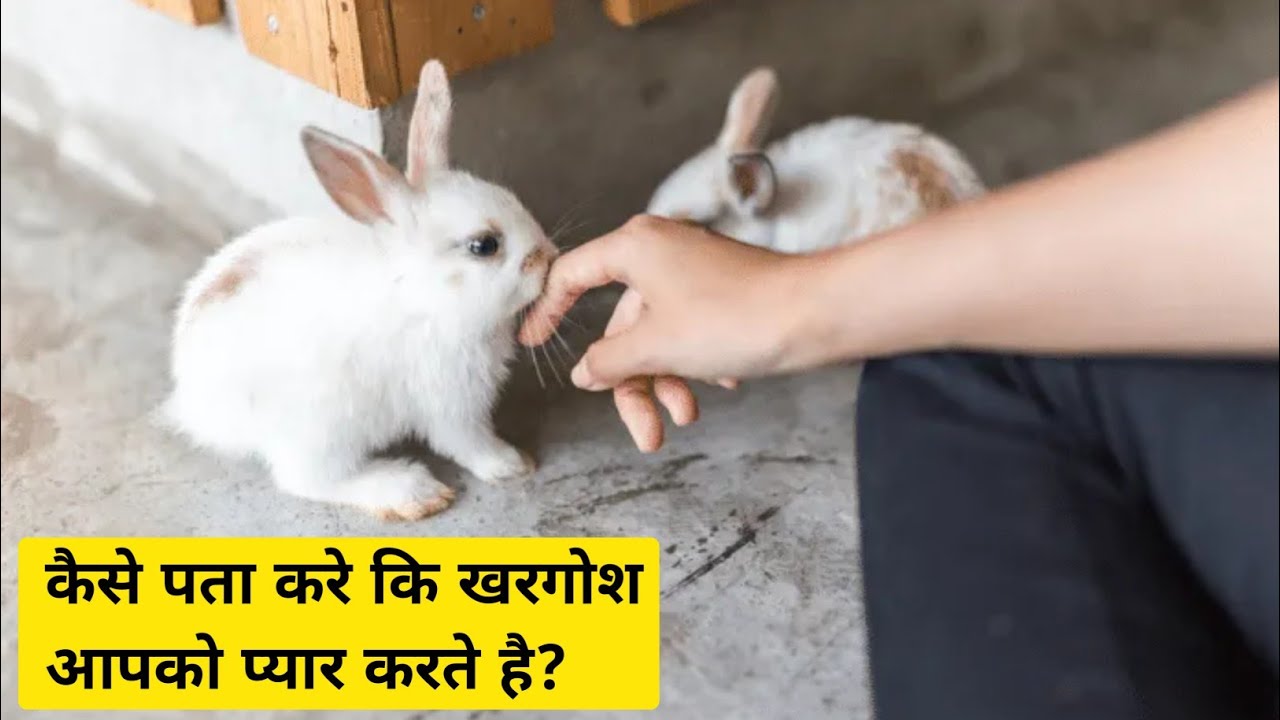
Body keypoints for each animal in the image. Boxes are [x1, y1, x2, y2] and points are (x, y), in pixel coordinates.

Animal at [165, 60, 556, 521]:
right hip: (322, 426)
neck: (423, 297)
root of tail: (196, 402)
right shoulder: (450, 401)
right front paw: (511, 463)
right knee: (307, 480)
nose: (548, 257)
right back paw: (409, 491)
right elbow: (468, 442)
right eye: (484, 246)